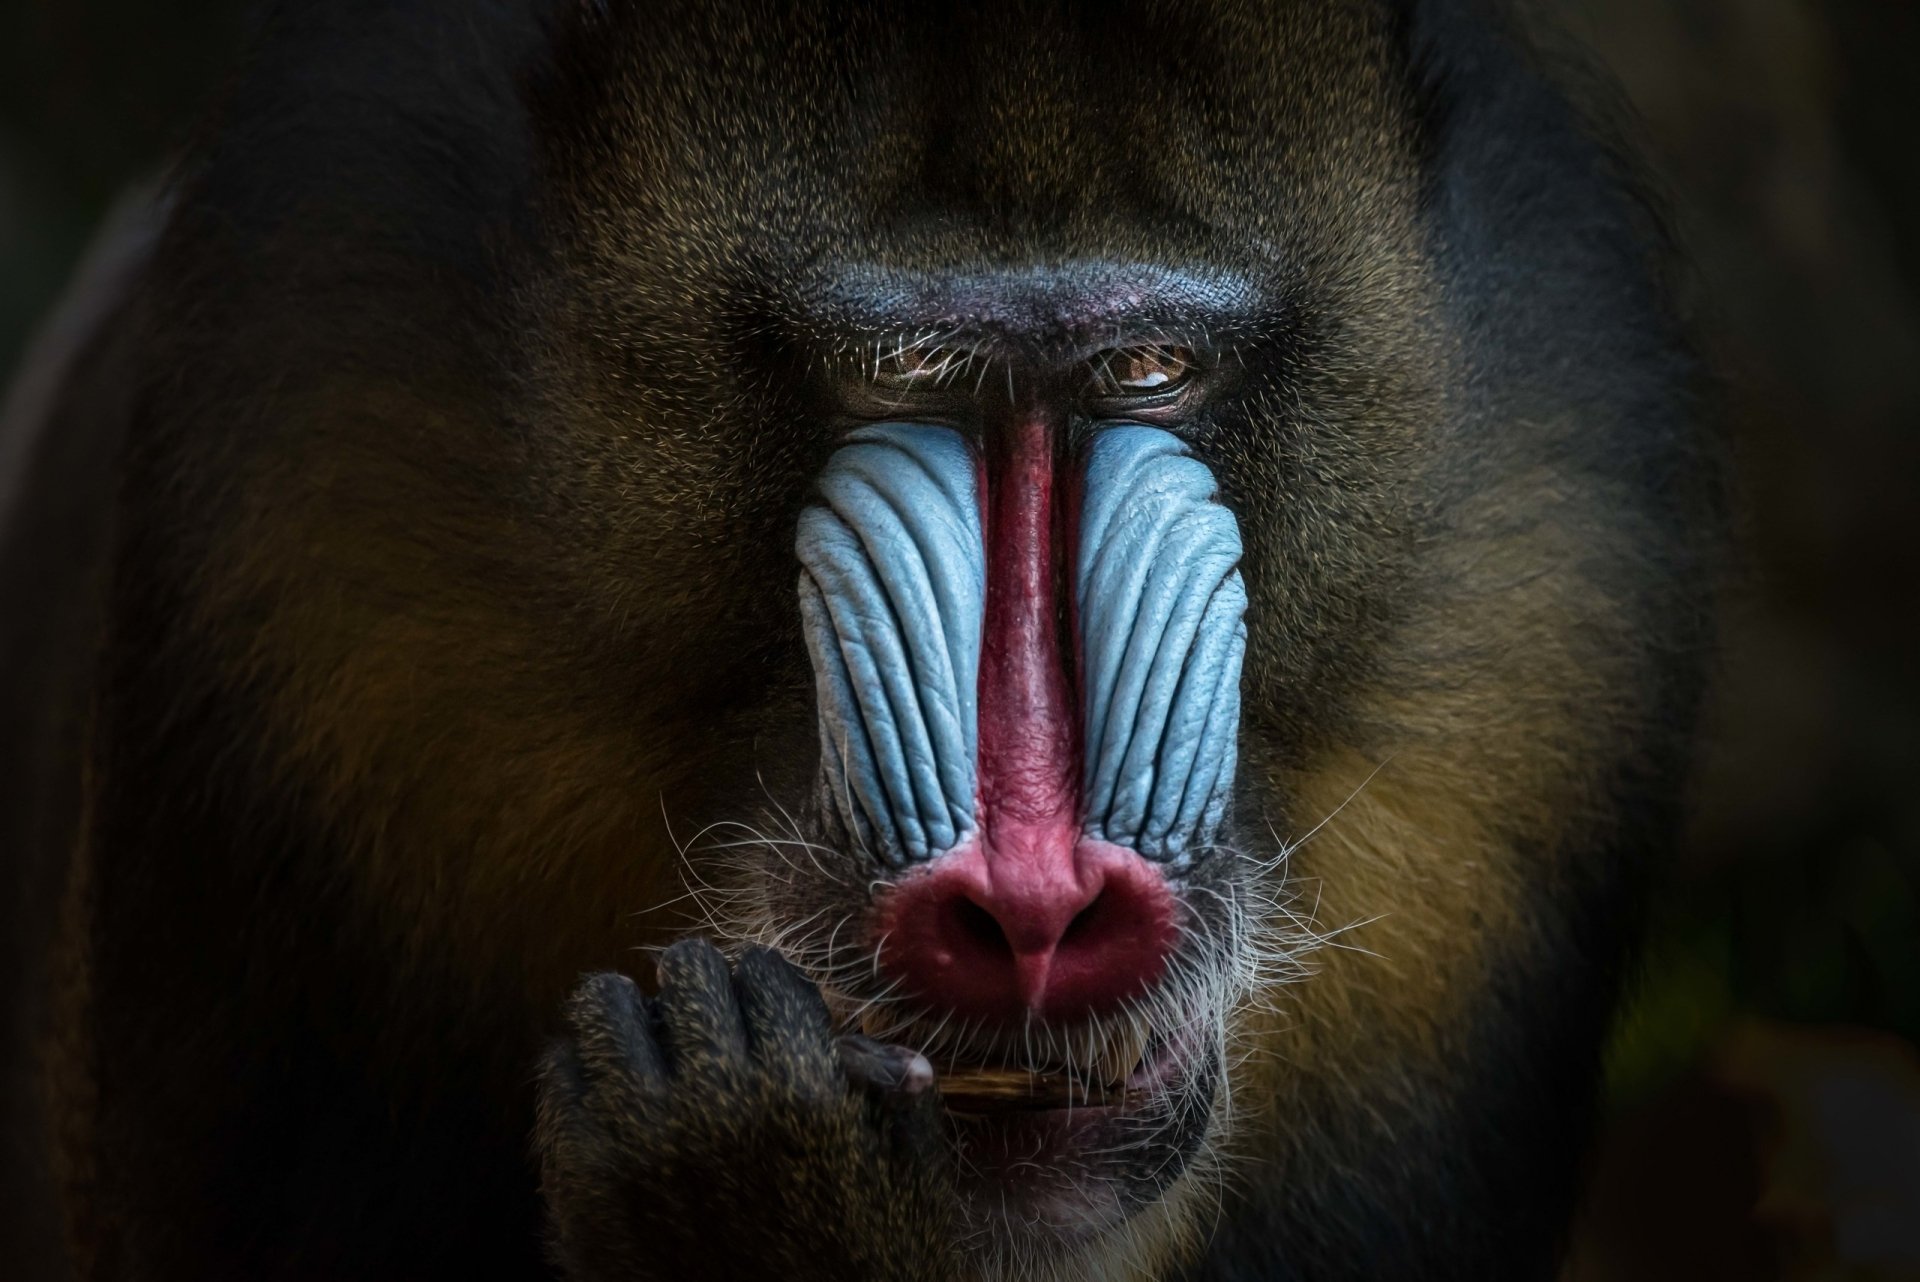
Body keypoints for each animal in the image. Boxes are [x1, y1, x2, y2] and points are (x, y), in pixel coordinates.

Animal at [0, 0, 1726, 1279]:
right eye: (895, 369)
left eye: (1153, 370)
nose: (1036, 907)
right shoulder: (320, 569)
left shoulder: (1528, 672)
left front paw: (757, 1185)